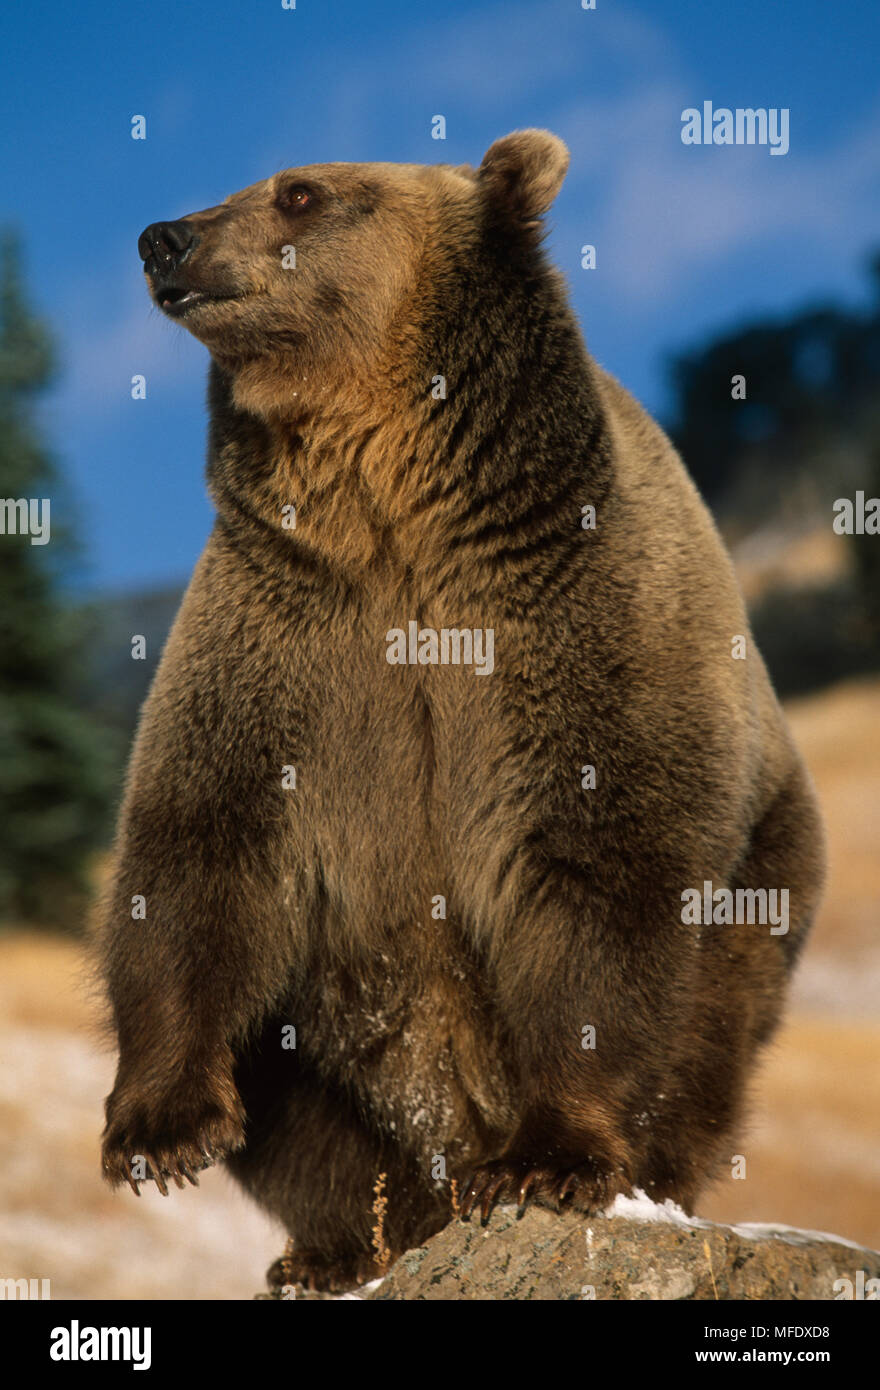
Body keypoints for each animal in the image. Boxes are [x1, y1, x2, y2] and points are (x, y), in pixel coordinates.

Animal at [98, 130, 825, 1293]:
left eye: (300, 193)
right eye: (257, 181)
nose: (163, 237)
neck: (396, 514)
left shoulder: (573, 616)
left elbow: (599, 874)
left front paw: (549, 1158)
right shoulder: (282, 629)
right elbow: (200, 849)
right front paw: (165, 1132)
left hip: (769, 871)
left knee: (710, 1030)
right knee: (314, 1117)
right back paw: (339, 1242)